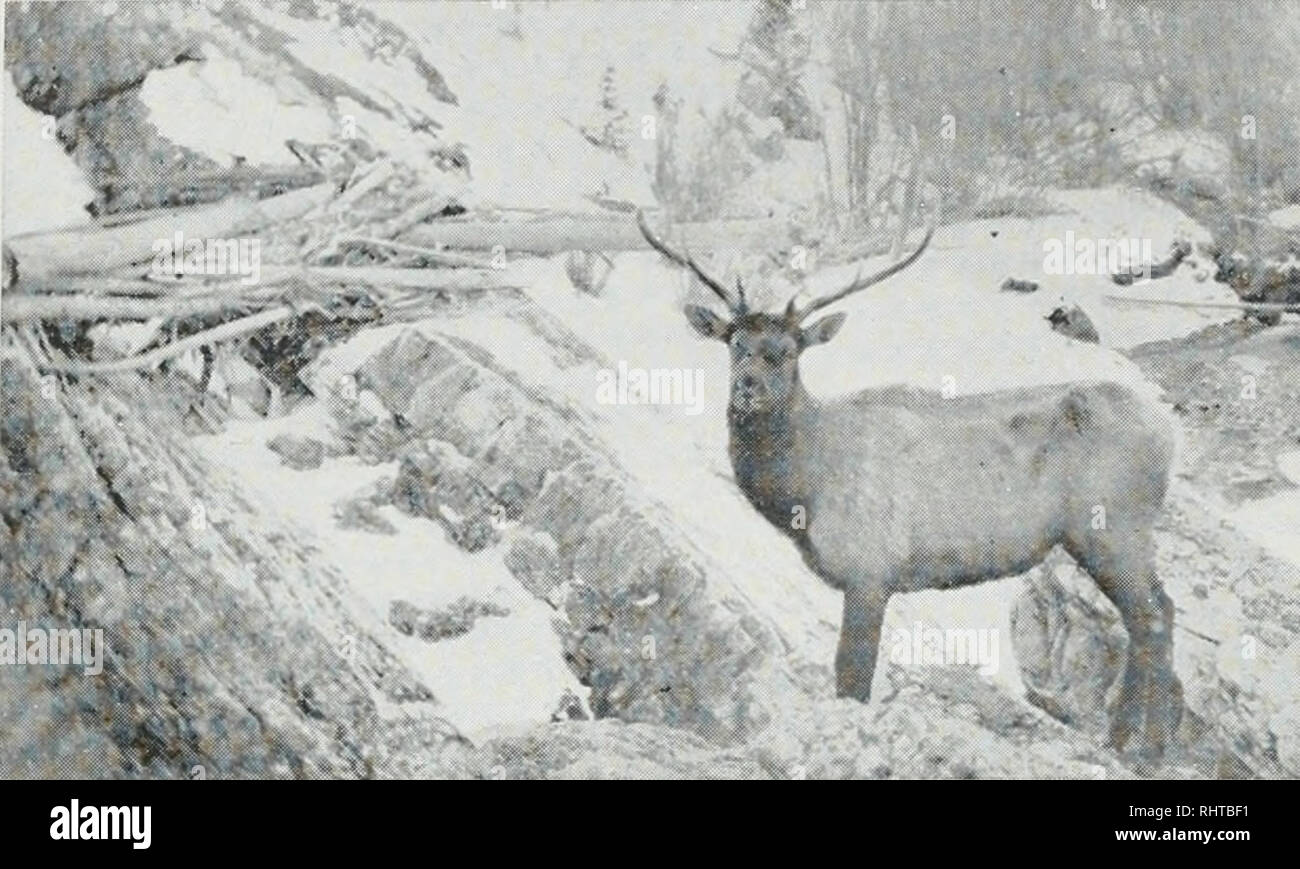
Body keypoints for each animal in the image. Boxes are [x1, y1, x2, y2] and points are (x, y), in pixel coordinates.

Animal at [636, 210, 1184, 761]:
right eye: (735, 346)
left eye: (787, 352)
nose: (747, 390)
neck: (805, 489)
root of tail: (1166, 430)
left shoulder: (870, 569)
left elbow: (852, 677)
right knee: (1153, 614)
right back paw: (1126, 741)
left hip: (1113, 524)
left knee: (1153, 616)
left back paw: (1145, 748)